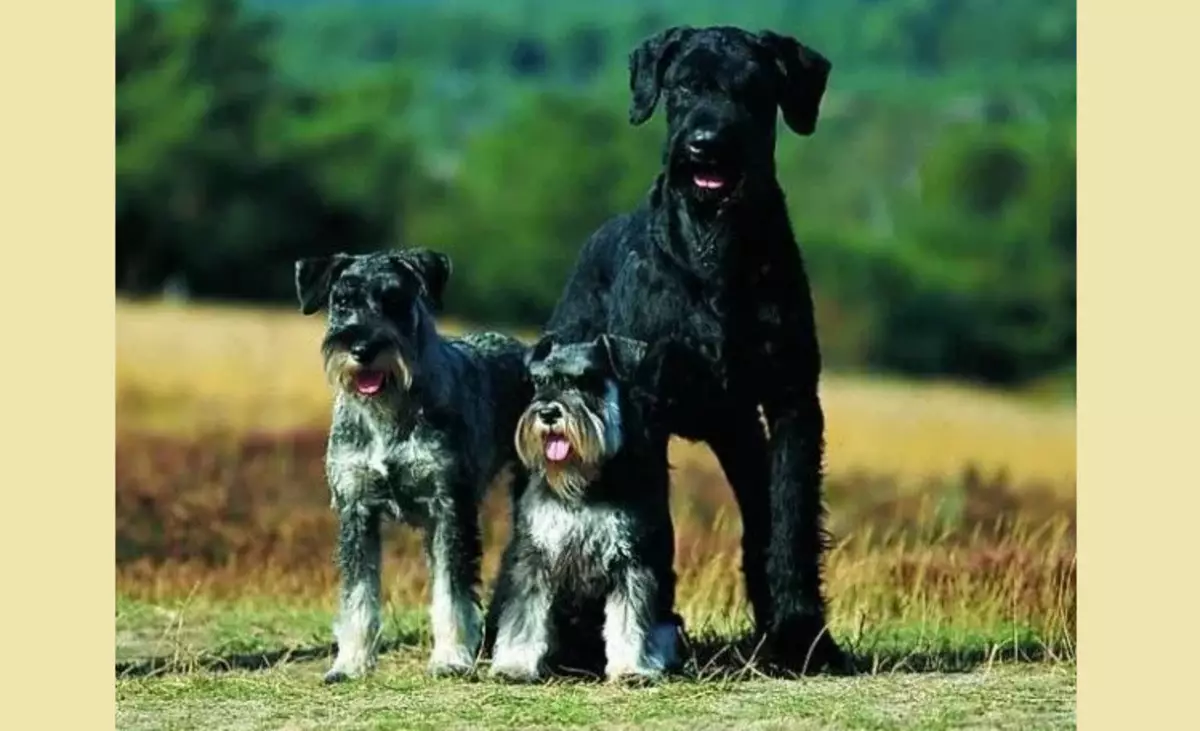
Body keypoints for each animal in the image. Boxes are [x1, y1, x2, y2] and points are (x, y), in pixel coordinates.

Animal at [290, 248, 530, 681]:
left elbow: (452, 593)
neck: (389, 413)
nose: (363, 349)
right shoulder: (356, 511)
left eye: (395, 300)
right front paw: (349, 663)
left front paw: (450, 658)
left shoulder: (450, 508)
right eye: (343, 301)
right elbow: (358, 596)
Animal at [482, 333, 681, 681]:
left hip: (669, 618)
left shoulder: (632, 559)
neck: (584, 481)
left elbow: (629, 620)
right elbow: (523, 617)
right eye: (540, 381)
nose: (548, 413)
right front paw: (514, 665)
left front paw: (631, 667)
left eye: (587, 381)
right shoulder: (534, 556)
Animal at [540, 25, 849, 672]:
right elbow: (650, 529)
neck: (715, 253)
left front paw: (802, 636)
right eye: (683, 85)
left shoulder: (792, 402)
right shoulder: (646, 409)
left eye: (754, 88)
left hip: (739, 431)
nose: (705, 147)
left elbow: (789, 519)